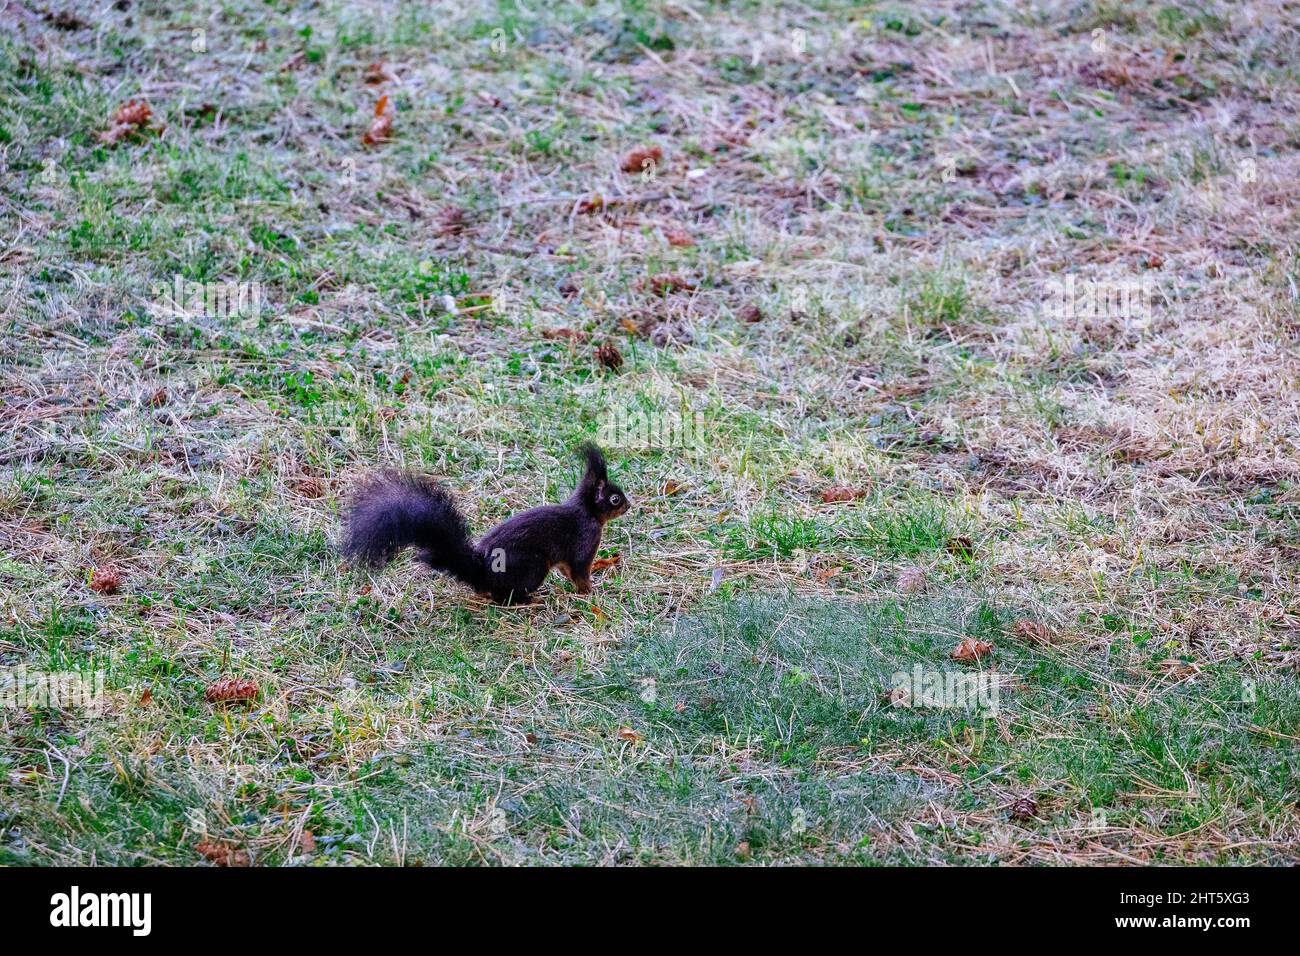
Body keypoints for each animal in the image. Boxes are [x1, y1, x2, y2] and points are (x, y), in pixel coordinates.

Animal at [342, 443, 630, 604]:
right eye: (614, 498)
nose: (629, 505)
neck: (587, 511)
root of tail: (481, 572)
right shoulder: (585, 539)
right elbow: (580, 571)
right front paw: (591, 593)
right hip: (533, 566)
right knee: (505, 597)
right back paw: (528, 600)